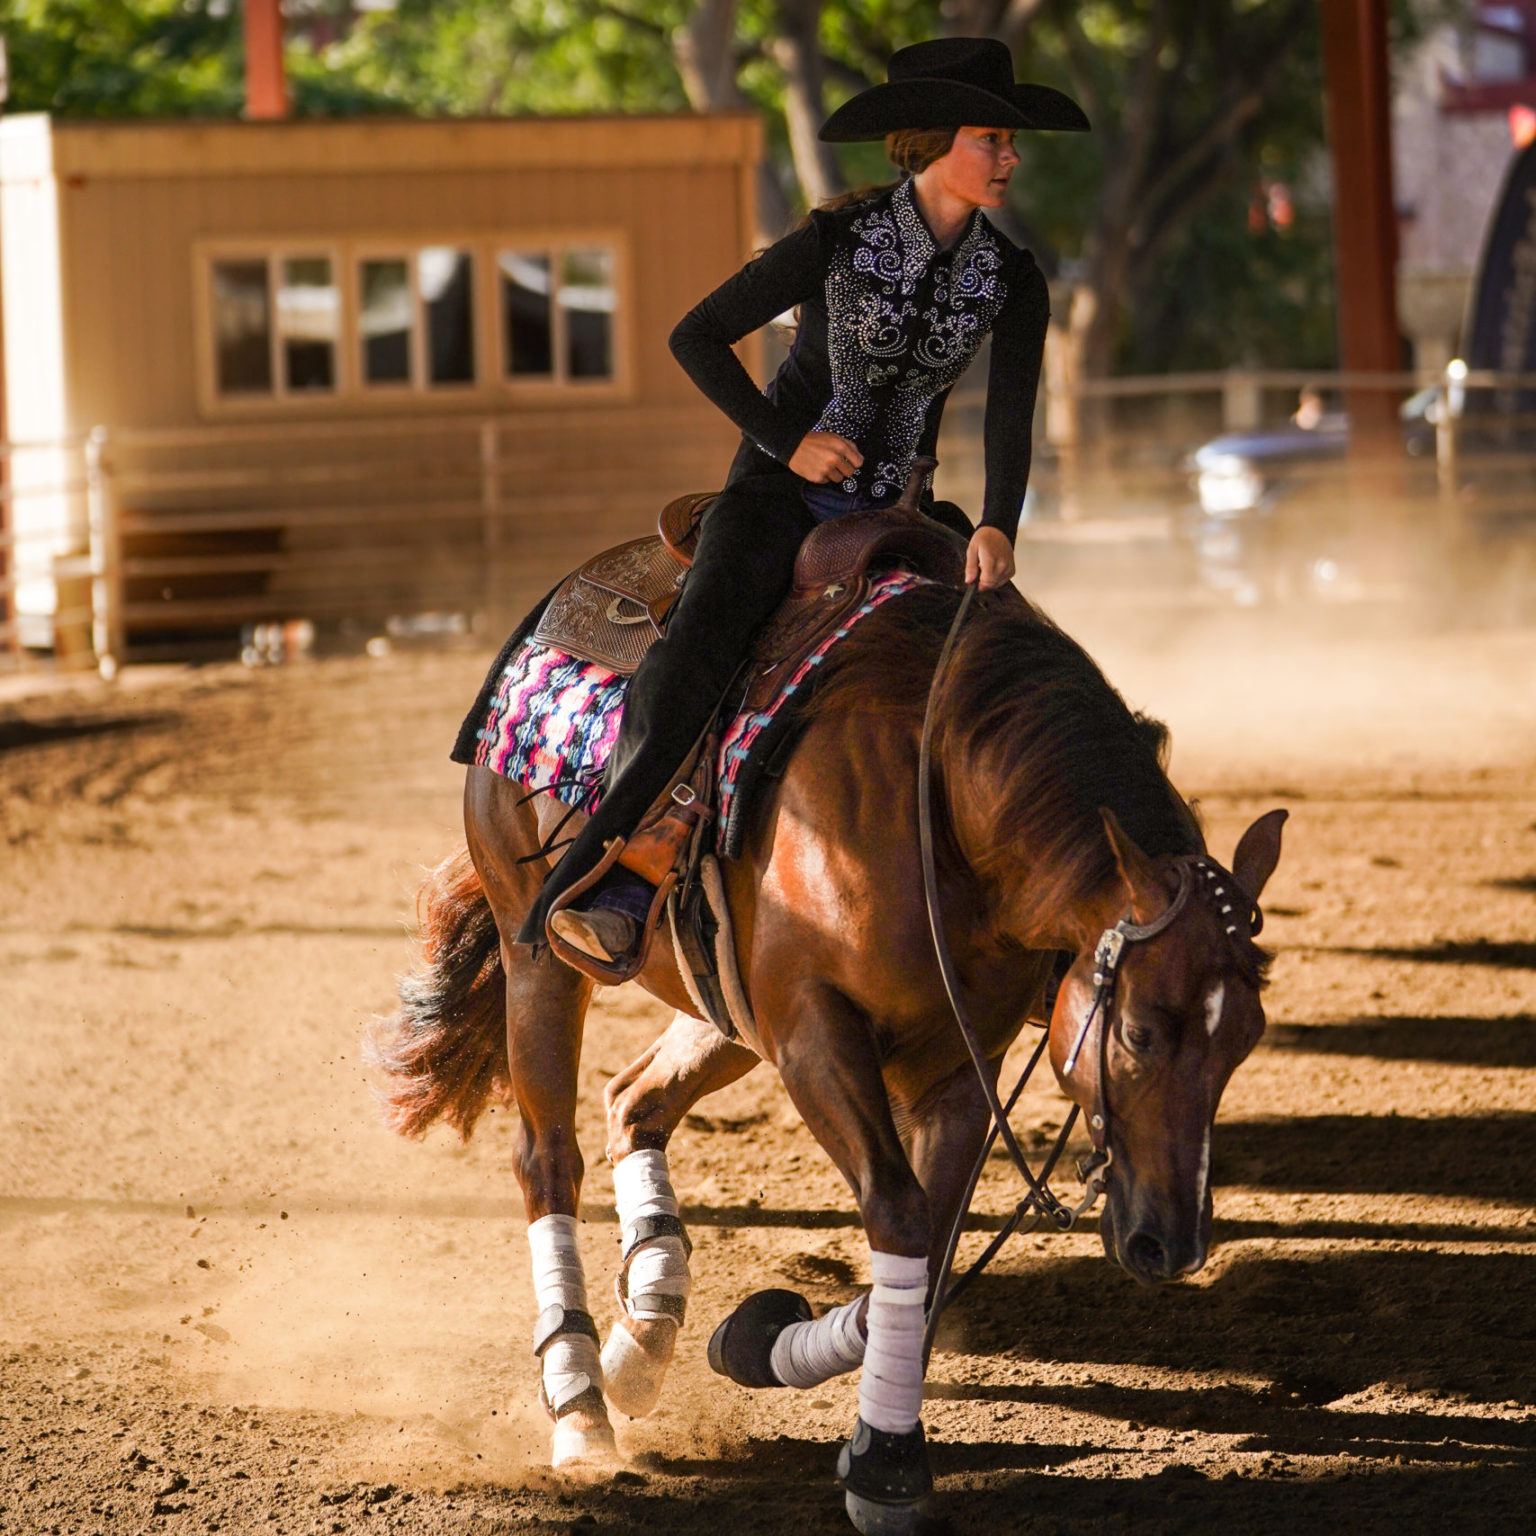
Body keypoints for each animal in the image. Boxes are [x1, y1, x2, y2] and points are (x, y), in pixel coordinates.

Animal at [369, 580, 1286, 1534]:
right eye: (1138, 1032)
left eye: (1244, 1040)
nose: (1170, 1245)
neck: (940, 804)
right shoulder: (816, 1034)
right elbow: (900, 1215)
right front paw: (884, 1461)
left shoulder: (957, 1066)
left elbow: (926, 1255)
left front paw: (770, 1347)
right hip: (540, 957)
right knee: (549, 1157)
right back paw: (581, 1411)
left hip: (725, 1005)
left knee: (633, 1098)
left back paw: (643, 1342)